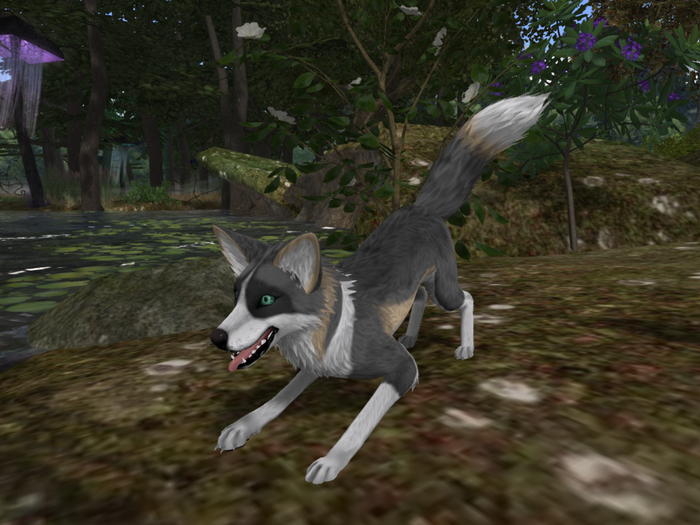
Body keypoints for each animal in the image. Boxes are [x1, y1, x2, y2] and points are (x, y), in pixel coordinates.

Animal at [209, 94, 549, 484]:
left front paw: (332, 459)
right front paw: (244, 424)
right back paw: (411, 335)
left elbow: (361, 420)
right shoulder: (316, 366)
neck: (327, 327)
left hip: (444, 289)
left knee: (466, 298)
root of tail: (420, 208)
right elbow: (277, 400)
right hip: (420, 283)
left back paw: (466, 346)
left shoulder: (402, 368)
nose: (215, 338)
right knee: (419, 297)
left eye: (265, 300)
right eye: (236, 297)